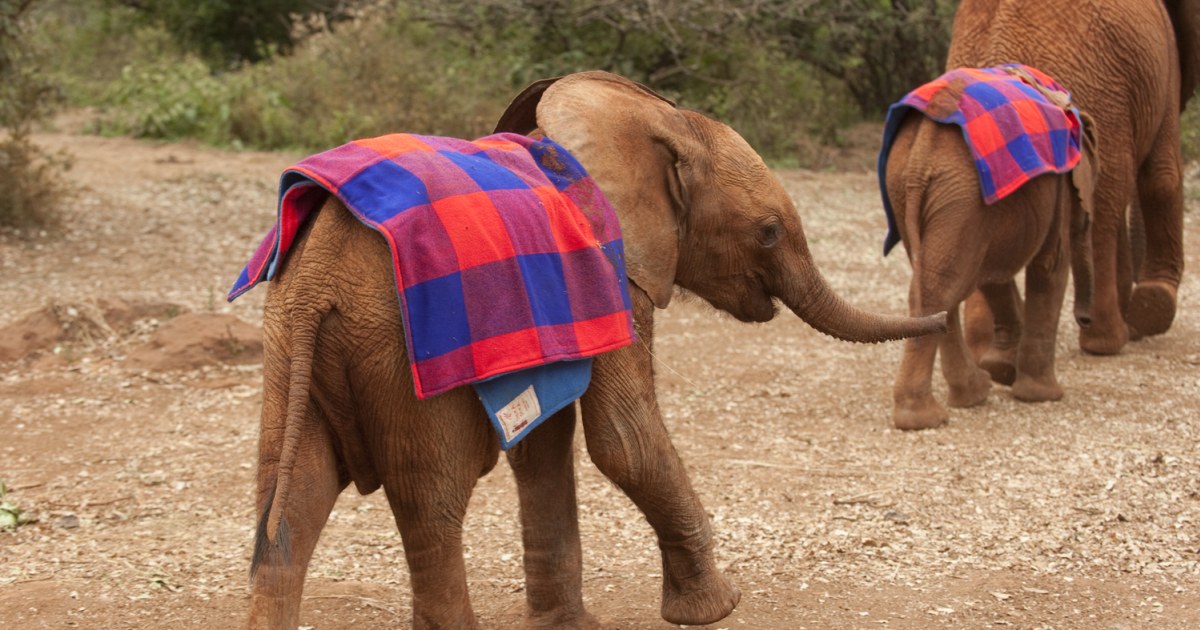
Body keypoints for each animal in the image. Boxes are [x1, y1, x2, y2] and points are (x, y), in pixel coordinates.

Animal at [243, 71, 947, 629]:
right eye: (770, 233)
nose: (941, 320)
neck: (657, 120)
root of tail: (320, 283)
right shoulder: (618, 269)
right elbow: (623, 437)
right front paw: (719, 608)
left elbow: (545, 446)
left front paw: (567, 626)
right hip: (399, 353)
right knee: (431, 506)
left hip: (290, 344)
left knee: (287, 507)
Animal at [881, 71, 1100, 430]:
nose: (1085, 319)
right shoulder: (1058, 191)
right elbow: (1050, 267)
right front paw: (1042, 396)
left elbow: (992, 275)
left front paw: (1006, 375)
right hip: (960, 196)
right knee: (943, 287)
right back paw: (925, 418)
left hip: (915, 188)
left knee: (937, 284)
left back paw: (969, 395)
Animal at [947, 0, 1200, 356]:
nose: (1138, 330)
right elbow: (1162, 178)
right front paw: (1151, 308)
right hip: (1098, 95)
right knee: (1104, 202)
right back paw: (1107, 341)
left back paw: (990, 351)